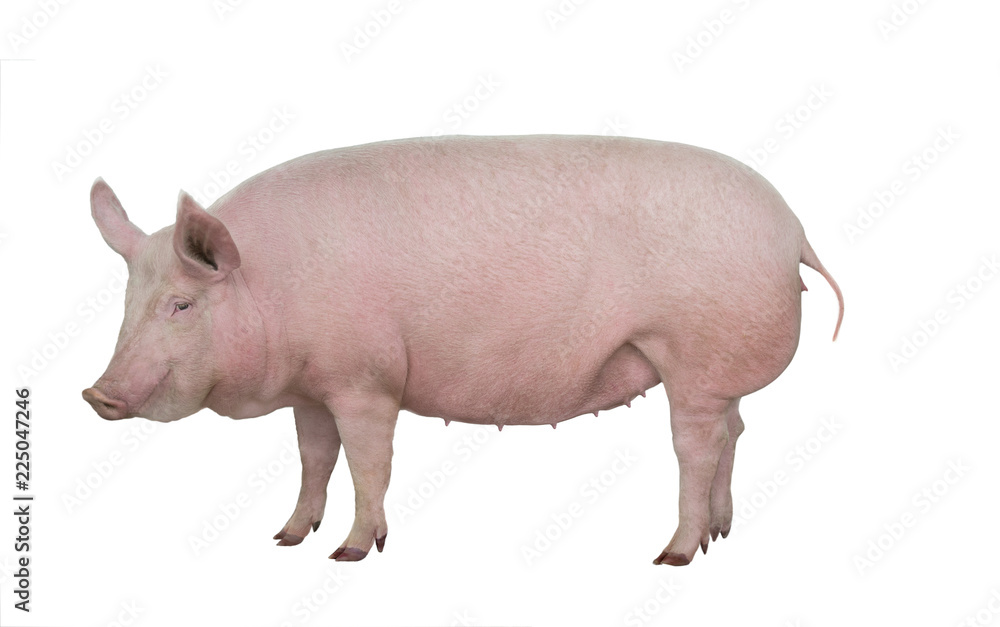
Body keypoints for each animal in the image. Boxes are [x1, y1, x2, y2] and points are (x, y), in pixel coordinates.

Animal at [82, 135, 843, 566]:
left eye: (182, 305)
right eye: (127, 300)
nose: (96, 393)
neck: (271, 284)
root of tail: (793, 228)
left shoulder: (367, 379)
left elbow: (368, 462)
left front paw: (350, 552)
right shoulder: (314, 388)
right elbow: (314, 458)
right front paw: (287, 538)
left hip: (691, 356)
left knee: (697, 445)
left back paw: (675, 555)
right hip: (714, 373)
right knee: (733, 430)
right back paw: (721, 533)